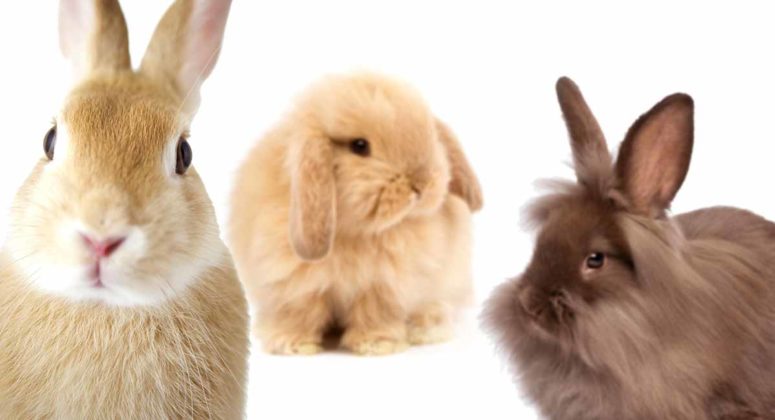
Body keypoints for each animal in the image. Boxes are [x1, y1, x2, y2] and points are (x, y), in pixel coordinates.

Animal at [229, 73, 482, 356]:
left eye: (431, 135)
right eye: (360, 146)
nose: (422, 184)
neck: (355, 232)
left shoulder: (385, 284)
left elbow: (374, 312)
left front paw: (376, 344)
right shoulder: (291, 283)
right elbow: (300, 312)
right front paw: (293, 344)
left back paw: (427, 329)